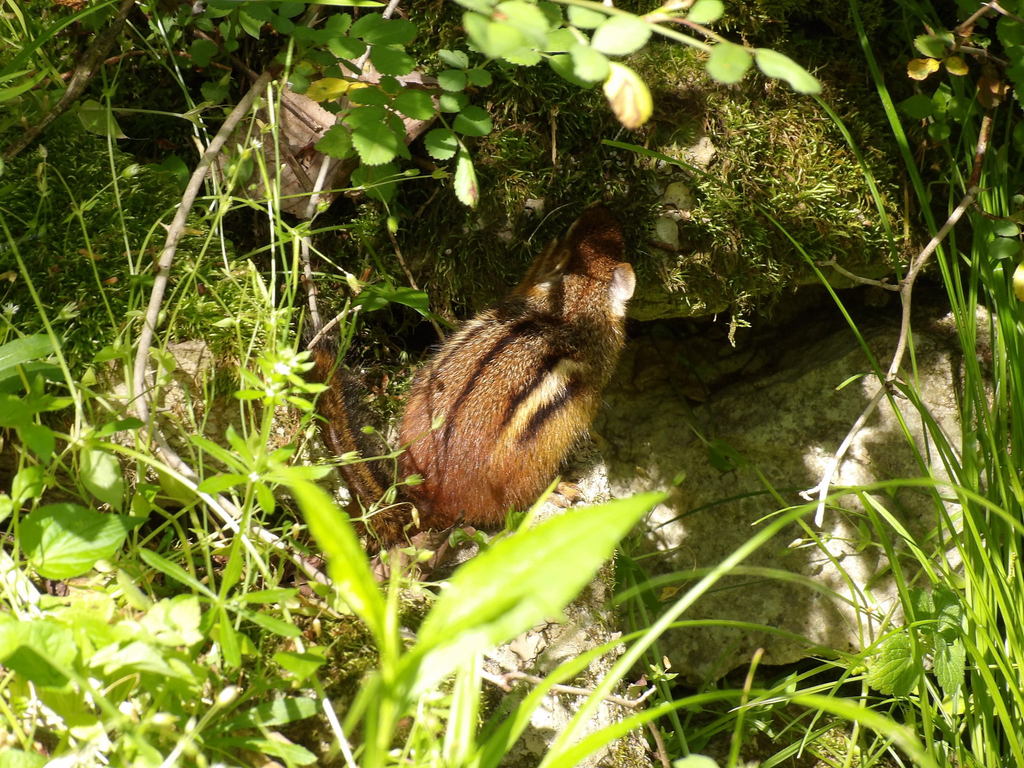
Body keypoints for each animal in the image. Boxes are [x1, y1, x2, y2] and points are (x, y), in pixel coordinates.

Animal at [312, 205, 635, 549]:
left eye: (571, 233)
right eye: (617, 252)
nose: (604, 209)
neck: (567, 308)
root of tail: (430, 498)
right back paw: (557, 489)